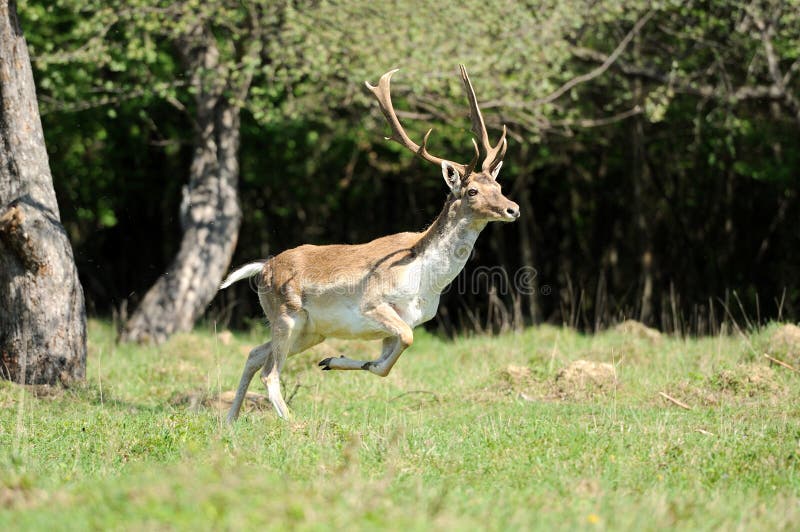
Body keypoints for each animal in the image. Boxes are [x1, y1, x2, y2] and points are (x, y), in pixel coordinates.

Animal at [220, 65, 519, 422]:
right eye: (472, 191)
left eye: (498, 185)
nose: (513, 208)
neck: (424, 280)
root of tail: (264, 267)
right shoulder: (373, 303)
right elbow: (406, 340)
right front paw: (338, 362)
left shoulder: (400, 324)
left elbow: (385, 365)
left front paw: (334, 361)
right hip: (285, 316)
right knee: (270, 372)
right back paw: (292, 425)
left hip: (310, 330)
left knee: (254, 354)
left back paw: (229, 421)